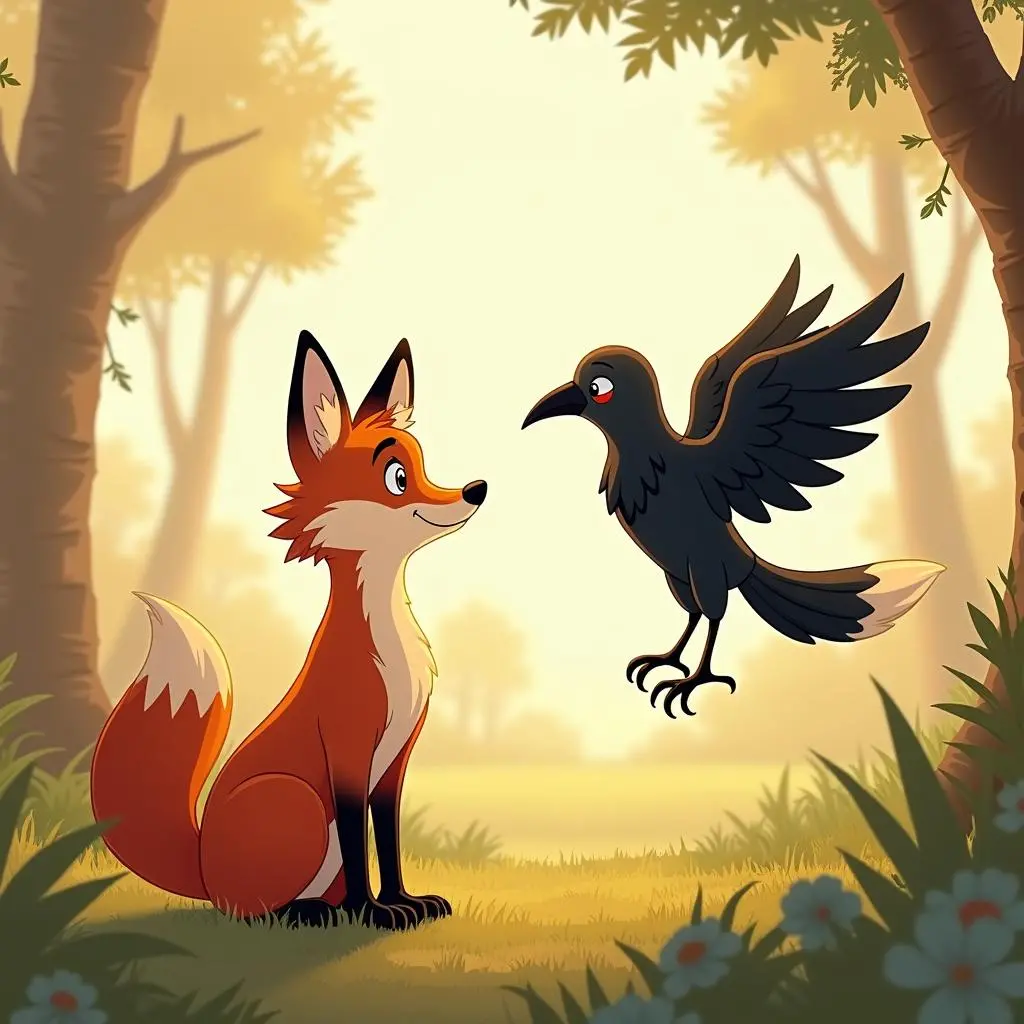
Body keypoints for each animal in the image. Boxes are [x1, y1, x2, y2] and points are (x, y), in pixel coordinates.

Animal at [90, 331, 487, 930]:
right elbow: (358, 840)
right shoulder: (348, 751)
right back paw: (311, 914)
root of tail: (201, 867)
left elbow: (387, 840)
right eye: (396, 477)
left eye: (424, 464)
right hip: (297, 801)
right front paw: (372, 912)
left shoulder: (394, 761)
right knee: (251, 911)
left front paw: (405, 902)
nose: (476, 489)